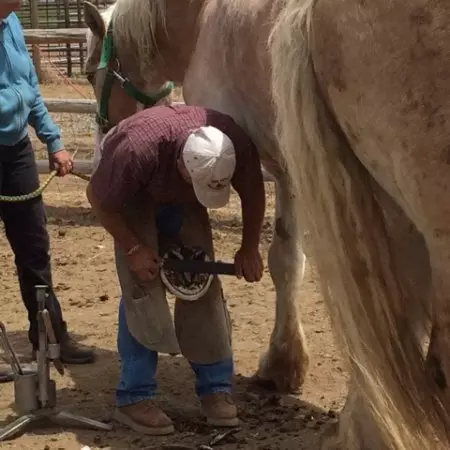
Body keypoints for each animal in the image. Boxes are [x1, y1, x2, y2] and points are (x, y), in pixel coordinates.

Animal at [82, 0, 310, 394]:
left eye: (85, 74)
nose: (102, 147)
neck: (202, 19)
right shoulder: (289, 171)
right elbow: (288, 261)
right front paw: (286, 365)